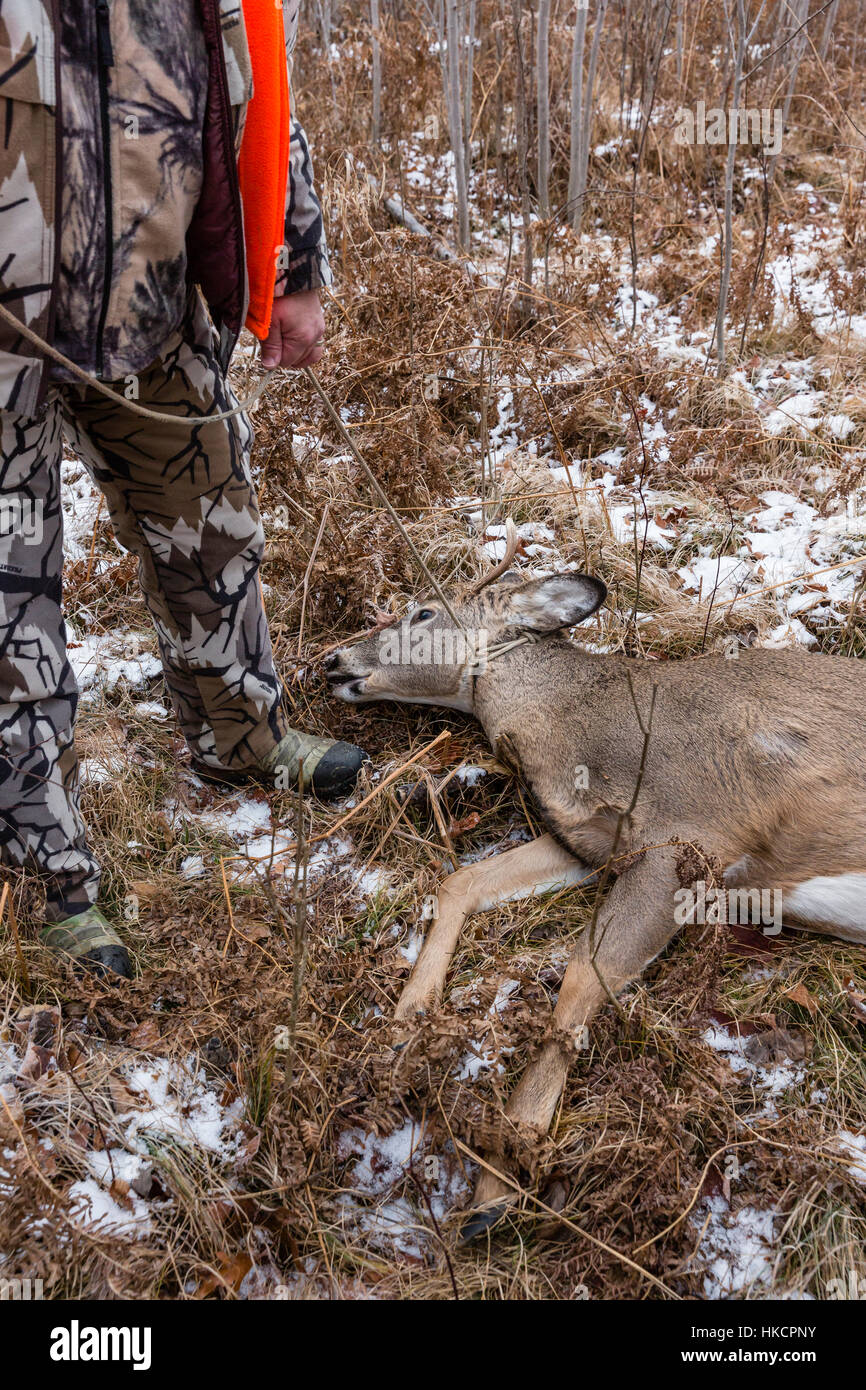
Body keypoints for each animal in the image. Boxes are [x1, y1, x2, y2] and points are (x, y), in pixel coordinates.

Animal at [323, 524, 866, 1237]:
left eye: (423, 612)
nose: (332, 660)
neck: (578, 730)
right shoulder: (589, 844)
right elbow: (462, 882)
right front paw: (406, 1020)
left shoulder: (687, 839)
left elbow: (582, 979)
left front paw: (497, 1185)